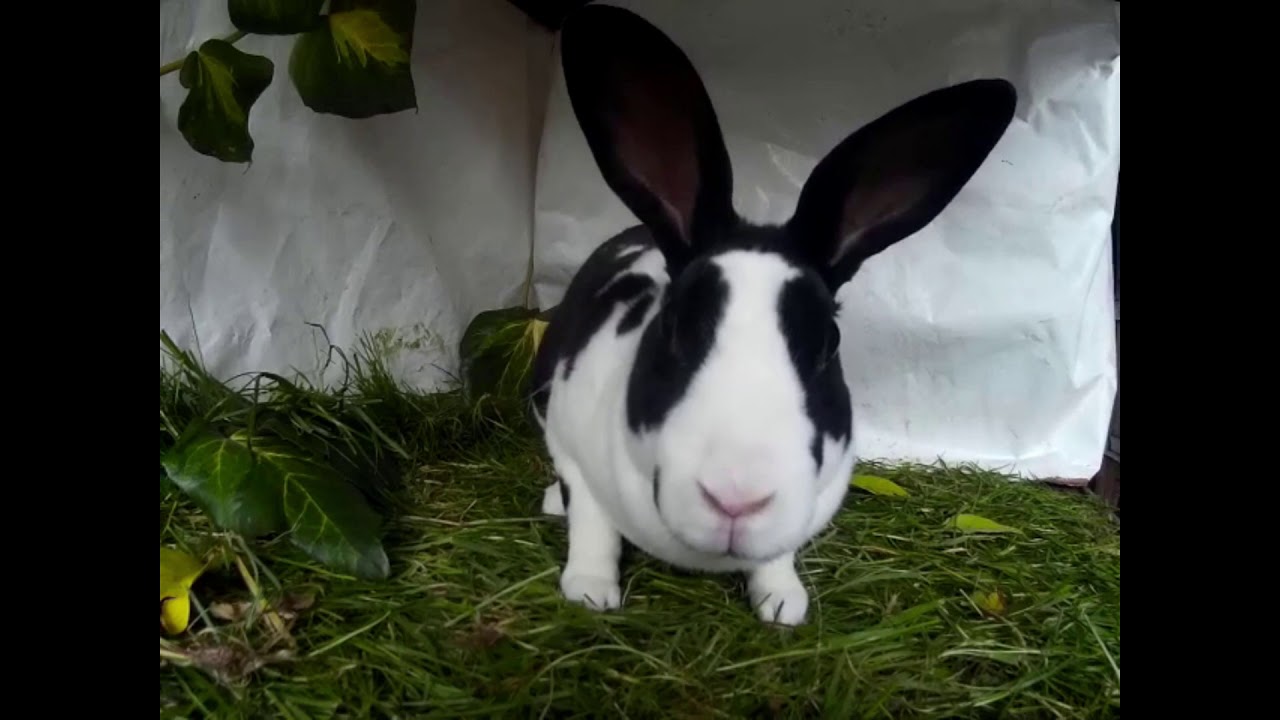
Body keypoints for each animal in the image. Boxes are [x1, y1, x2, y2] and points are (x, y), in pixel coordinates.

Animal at [529, 4, 1016, 626]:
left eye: (830, 342)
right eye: (674, 325)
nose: (737, 498)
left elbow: (776, 558)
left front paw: (783, 605)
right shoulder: (573, 446)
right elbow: (594, 527)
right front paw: (590, 592)